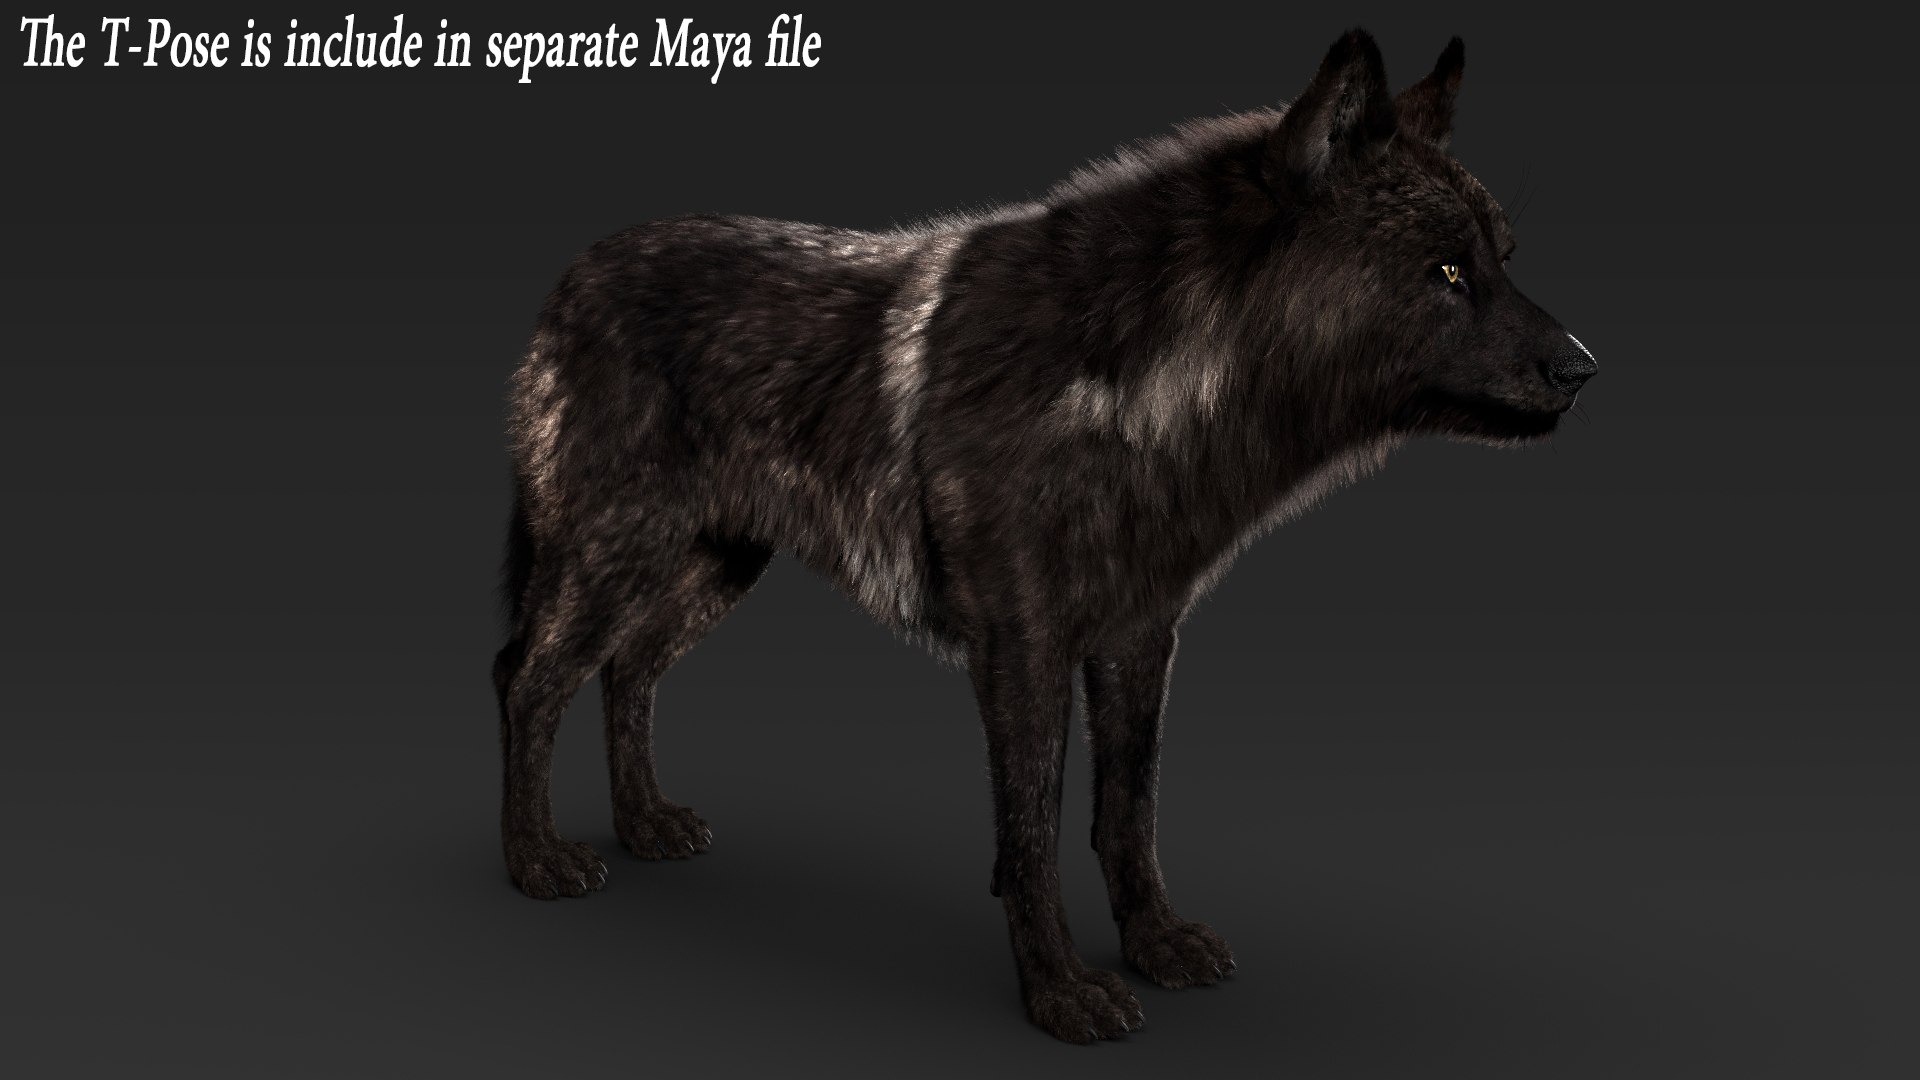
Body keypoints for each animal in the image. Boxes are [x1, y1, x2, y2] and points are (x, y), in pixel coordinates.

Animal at [491, 28, 1597, 1042]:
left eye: (1503, 258)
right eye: (1446, 271)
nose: (1584, 368)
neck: (1142, 388)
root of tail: (573, 272)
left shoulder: (1139, 637)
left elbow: (1129, 813)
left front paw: (1154, 944)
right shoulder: (1020, 645)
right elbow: (1032, 829)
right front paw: (1061, 993)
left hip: (713, 566)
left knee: (626, 670)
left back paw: (644, 825)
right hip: (616, 556)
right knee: (529, 677)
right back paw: (535, 860)